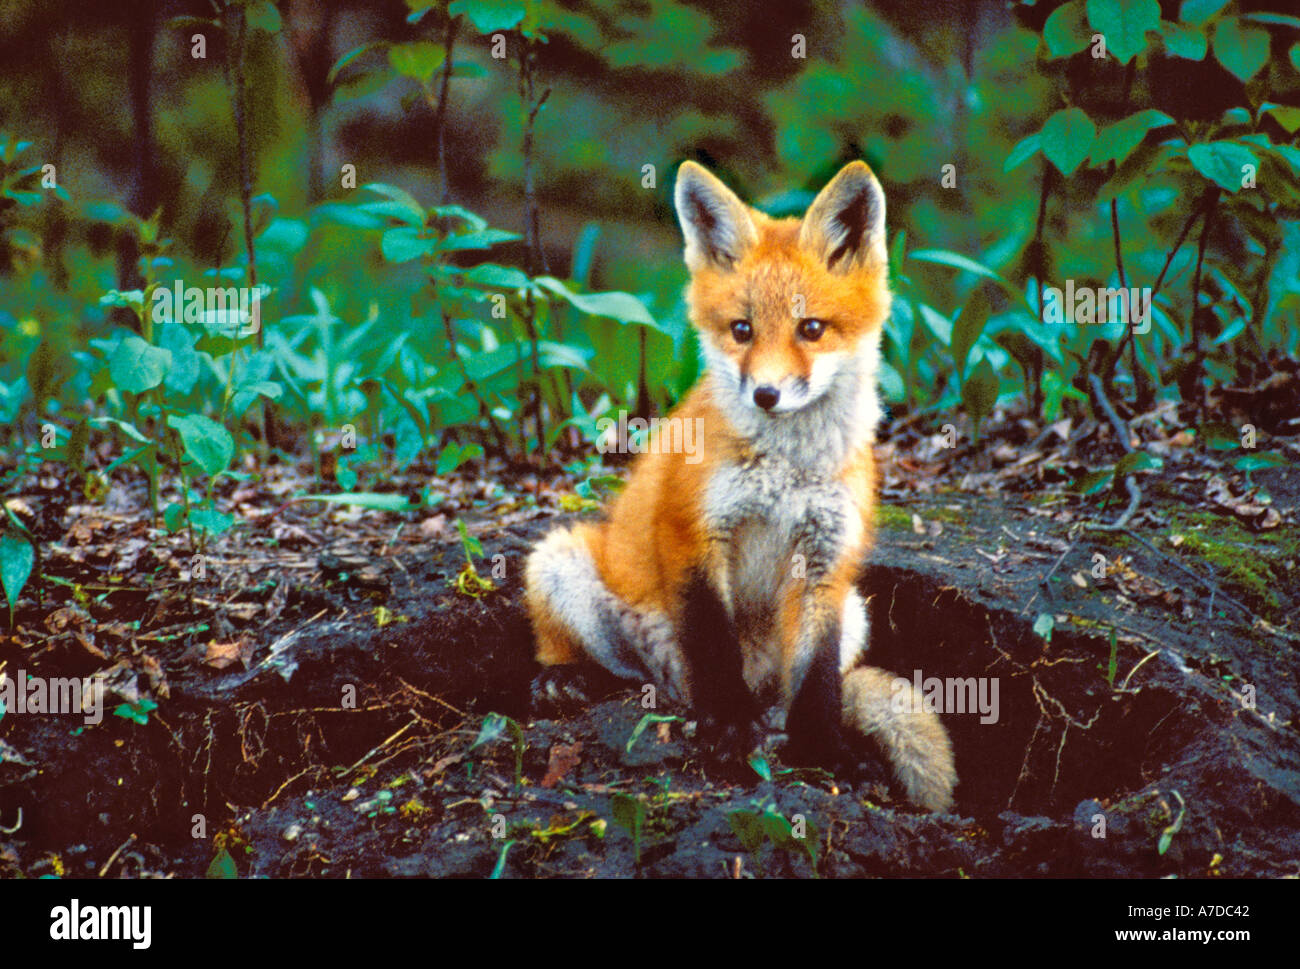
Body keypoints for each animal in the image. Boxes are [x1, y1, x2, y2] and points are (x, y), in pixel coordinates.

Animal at [524, 160, 956, 812]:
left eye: (811, 328)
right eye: (742, 329)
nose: (766, 394)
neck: (787, 469)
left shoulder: (826, 560)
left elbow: (820, 680)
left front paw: (824, 750)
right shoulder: (695, 534)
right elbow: (714, 645)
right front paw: (728, 730)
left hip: (854, 610)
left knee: (786, 698)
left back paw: (773, 724)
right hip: (561, 561)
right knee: (616, 670)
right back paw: (567, 679)